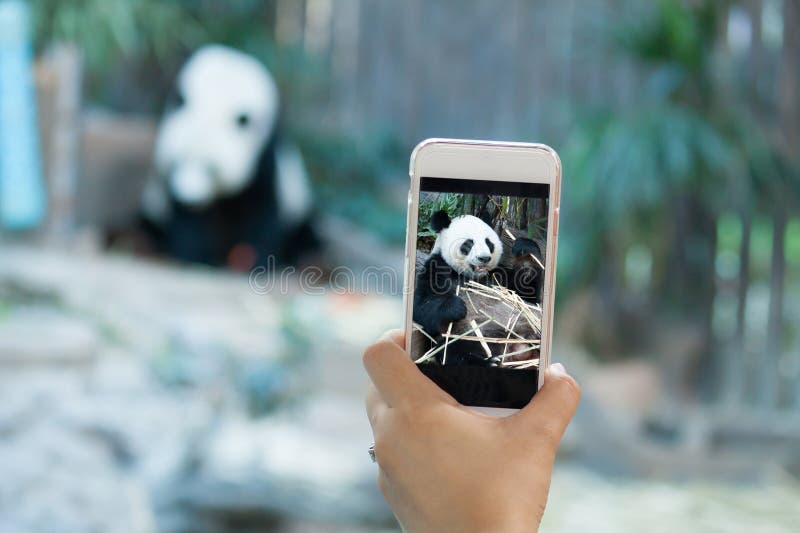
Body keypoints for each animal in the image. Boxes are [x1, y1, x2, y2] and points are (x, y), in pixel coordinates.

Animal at [140, 44, 318, 270]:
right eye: (177, 162)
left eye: (210, 169)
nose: (190, 201)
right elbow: (184, 218)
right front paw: (197, 257)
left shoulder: (264, 149)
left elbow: (262, 205)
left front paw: (256, 260)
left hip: (297, 199)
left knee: (304, 229)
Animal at [413, 209, 543, 366]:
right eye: (468, 243)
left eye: (489, 243)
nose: (484, 258)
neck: (473, 277)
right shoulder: (437, 268)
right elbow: (422, 306)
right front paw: (456, 307)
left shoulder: (498, 276)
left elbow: (526, 292)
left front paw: (526, 250)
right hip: (476, 334)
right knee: (454, 350)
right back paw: (489, 362)